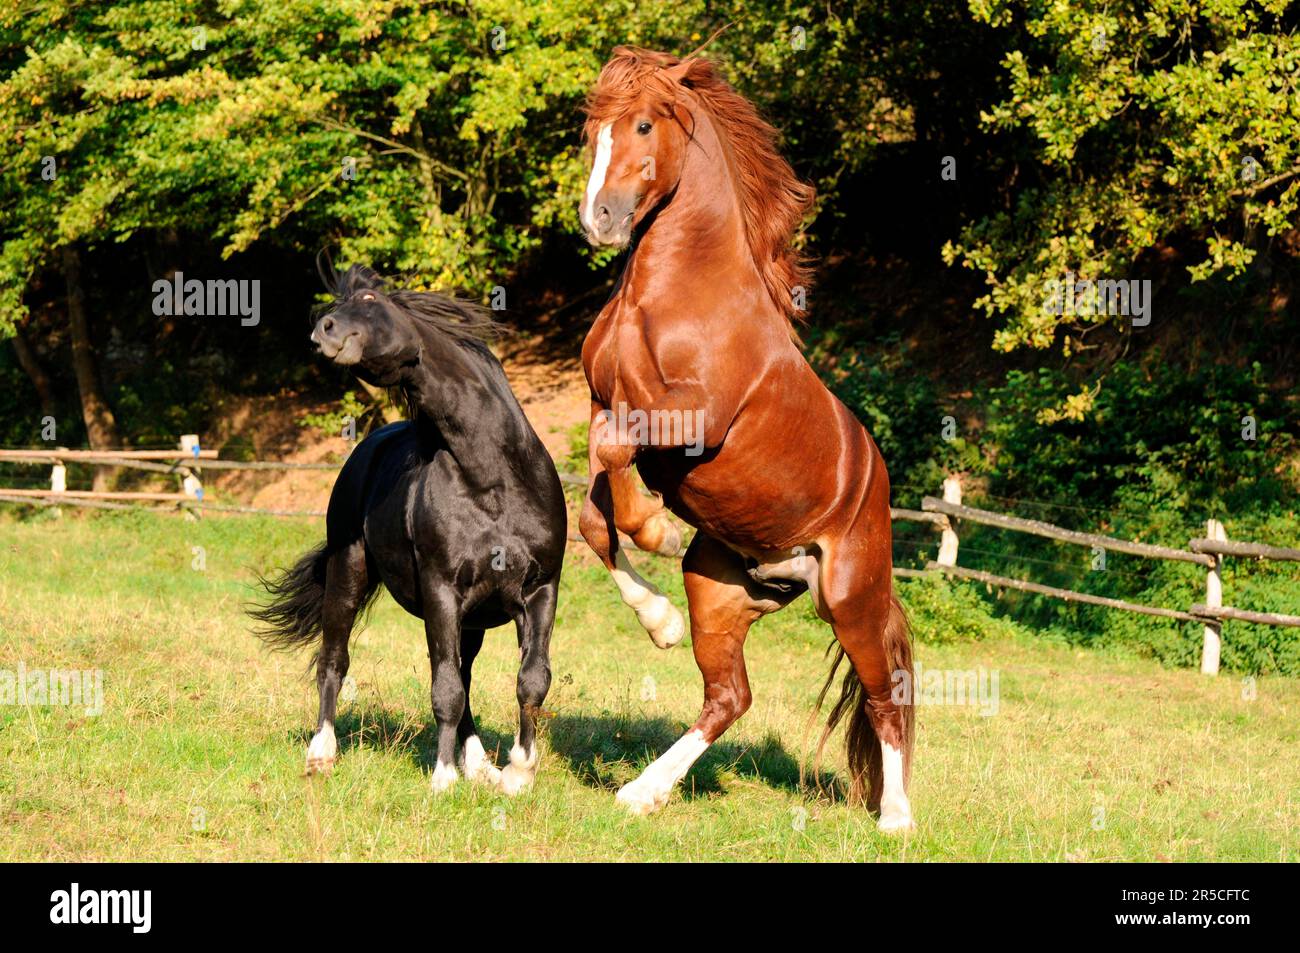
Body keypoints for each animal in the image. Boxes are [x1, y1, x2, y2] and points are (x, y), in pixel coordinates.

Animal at [249, 264, 567, 796]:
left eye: (369, 299)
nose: (322, 332)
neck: (493, 478)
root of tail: (369, 445)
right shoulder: (441, 592)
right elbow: (445, 689)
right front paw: (442, 778)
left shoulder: (540, 589)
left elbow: (532, 678)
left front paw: (517, 772)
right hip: (348, 574)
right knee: (334, 660)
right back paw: (321, 753)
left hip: (471, 620)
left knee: (464, 673)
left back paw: (478, 765)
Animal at [576, 47, 916, 832]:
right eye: (589, 128)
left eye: (643, 124)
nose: (598, 218)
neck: (673, 296)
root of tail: (875, 479)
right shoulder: (605, 404)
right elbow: (592, 514)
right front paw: (658, 620)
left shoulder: (689, 420)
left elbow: (615, 472)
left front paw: (656, 530)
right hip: (722, 588)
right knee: (729, 697)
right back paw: (642, 791)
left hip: (852, 599)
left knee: (885, 693)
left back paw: (897, 817)